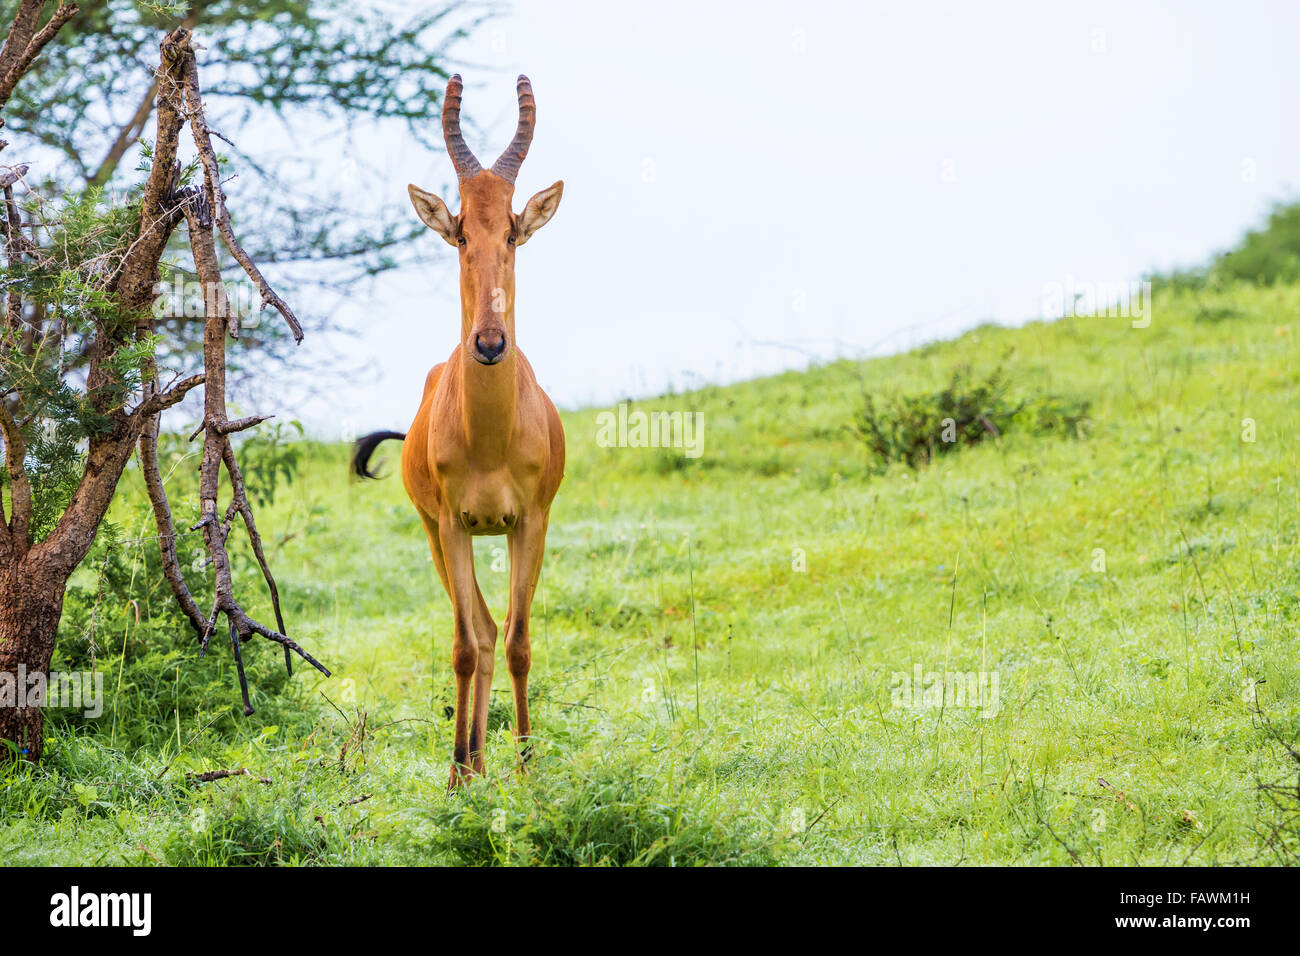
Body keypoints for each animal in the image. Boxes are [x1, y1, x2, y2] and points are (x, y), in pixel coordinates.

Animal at [352, 74, 565, 789]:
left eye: (513, 231)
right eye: (462, 232)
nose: (490, 344)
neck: (491, 436)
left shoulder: (531, 522)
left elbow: (520, 640)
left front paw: (528, 769)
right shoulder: (452, 523)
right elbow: (464, 647)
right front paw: (456, 777)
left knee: (495, 628)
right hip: (438, 536)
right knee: (476, 631)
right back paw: (468, 762)